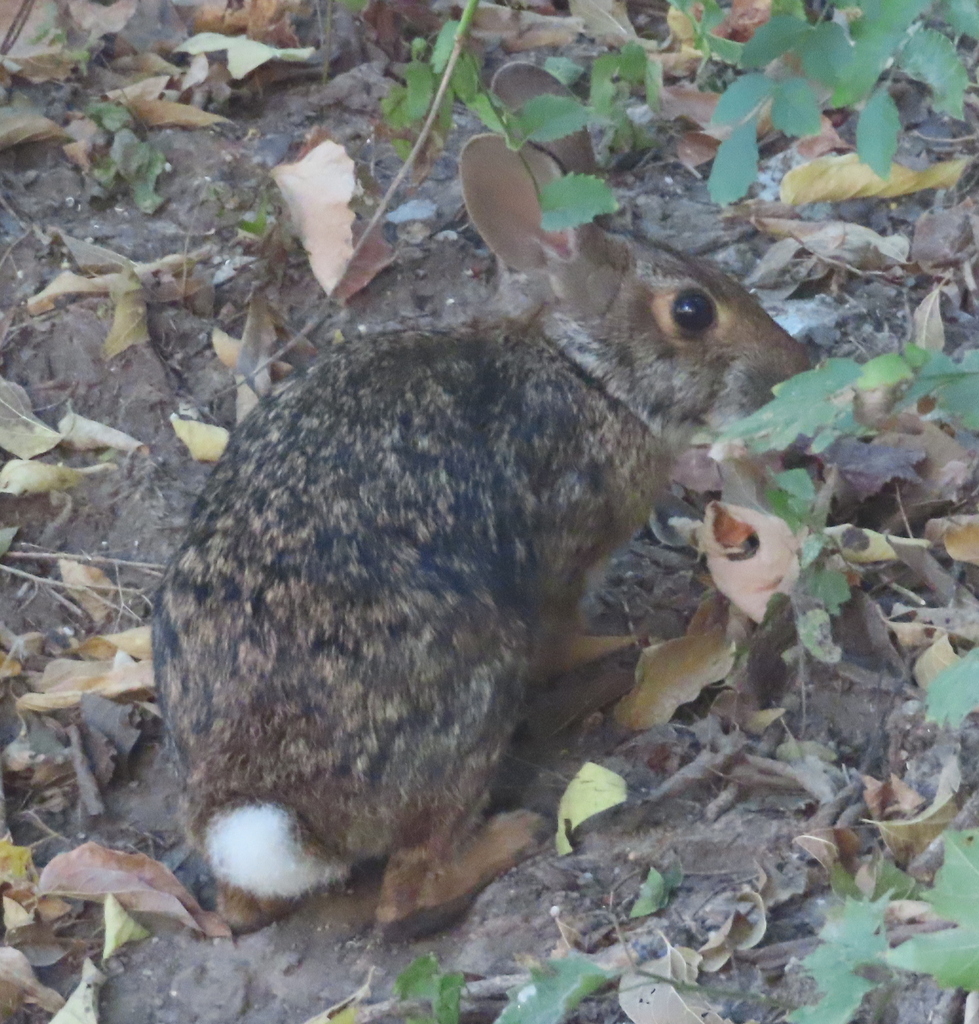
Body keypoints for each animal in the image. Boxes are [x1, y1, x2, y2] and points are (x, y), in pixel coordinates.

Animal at [153, 63, 810, 939]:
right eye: (691, 311)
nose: (792, 368)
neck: (583, 372)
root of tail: (265, 814)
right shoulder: (564, 555)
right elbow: (562, 629)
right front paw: (613, 643)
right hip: (468, 697)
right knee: (404, 890)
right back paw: (511, 835)